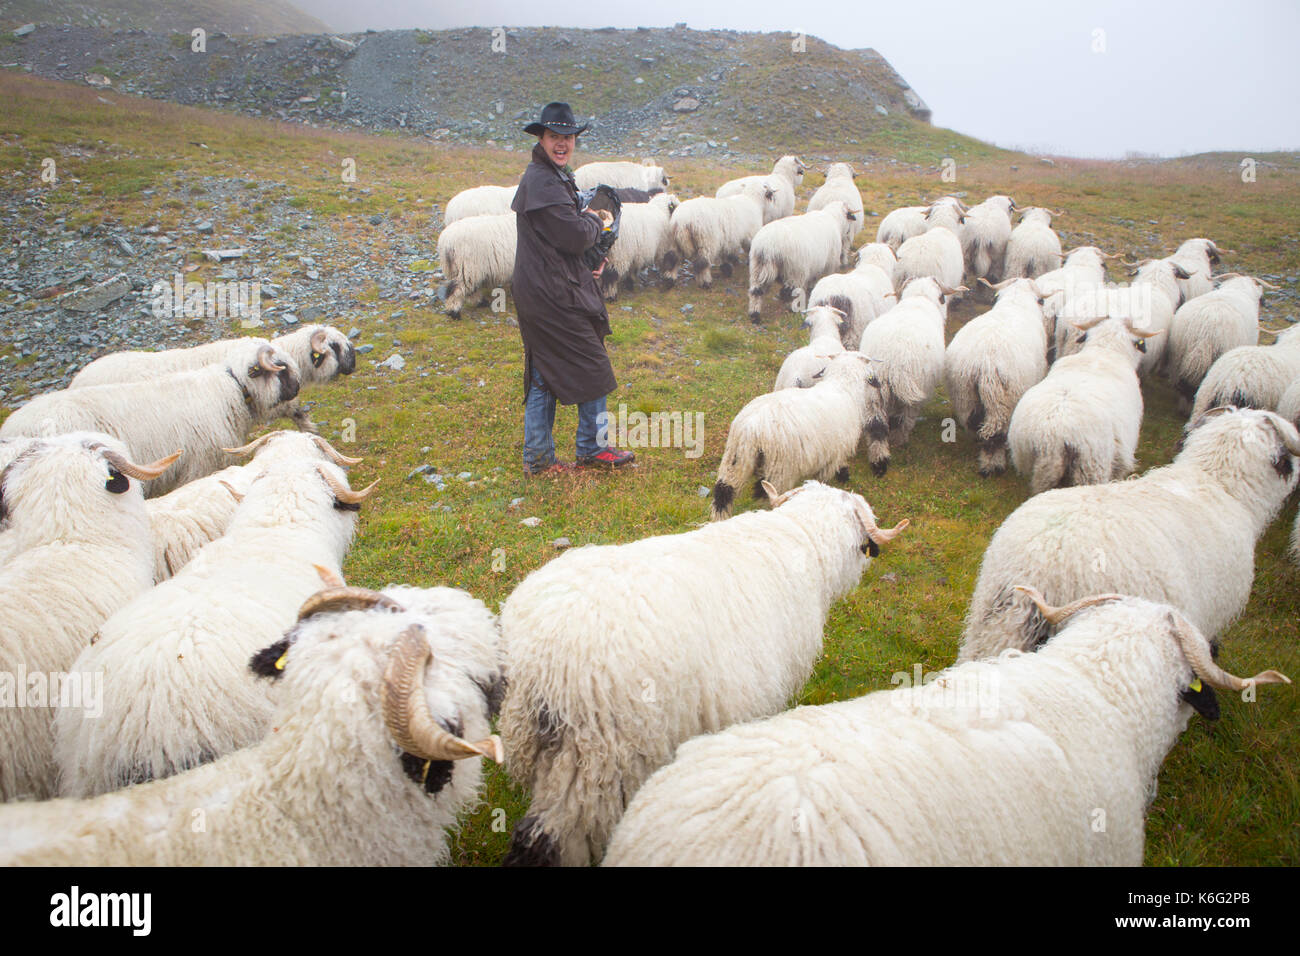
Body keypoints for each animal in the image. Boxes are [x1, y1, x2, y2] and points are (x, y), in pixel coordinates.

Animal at [711, 352, 885, 518]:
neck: (842, 387)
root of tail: (751, 427)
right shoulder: (833, 455)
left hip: (734, 461)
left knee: (722, 496)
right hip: (778, 471)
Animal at [858, 277, 962, 475]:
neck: (918, 298)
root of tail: (890, 359)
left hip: (872, 393)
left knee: (875, 425)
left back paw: (878, 459)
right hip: (911, 390)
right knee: (903, 419)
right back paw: (899, 442)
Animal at [945, 278, 1049, 476]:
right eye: (1041, 301)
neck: (1015, 303)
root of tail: (985, 362)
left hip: (964, 393)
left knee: (973, 422)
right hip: (1001, 398)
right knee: (995, 432)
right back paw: (992, 465)